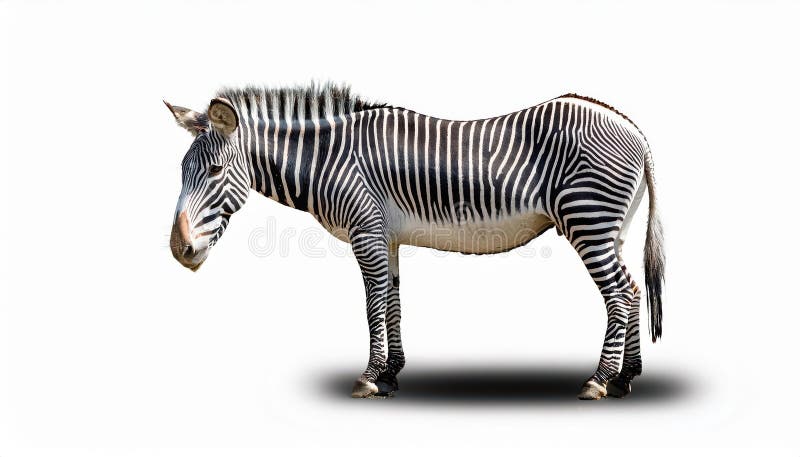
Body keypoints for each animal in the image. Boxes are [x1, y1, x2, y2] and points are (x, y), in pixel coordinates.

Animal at [165, 82, 664, 400]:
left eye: (214, 171)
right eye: (182, 171)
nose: (179, 250)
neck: (327, 159)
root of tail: (635, 130)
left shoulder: (366, 231)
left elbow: (372, 305)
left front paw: (368, 377)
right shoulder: (386, 237)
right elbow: (392, 301)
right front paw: (390, 375)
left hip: (588, 219)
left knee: (619, 295)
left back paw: (599, 380)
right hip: (611, 228)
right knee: (633, 288)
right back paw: (626, 378)